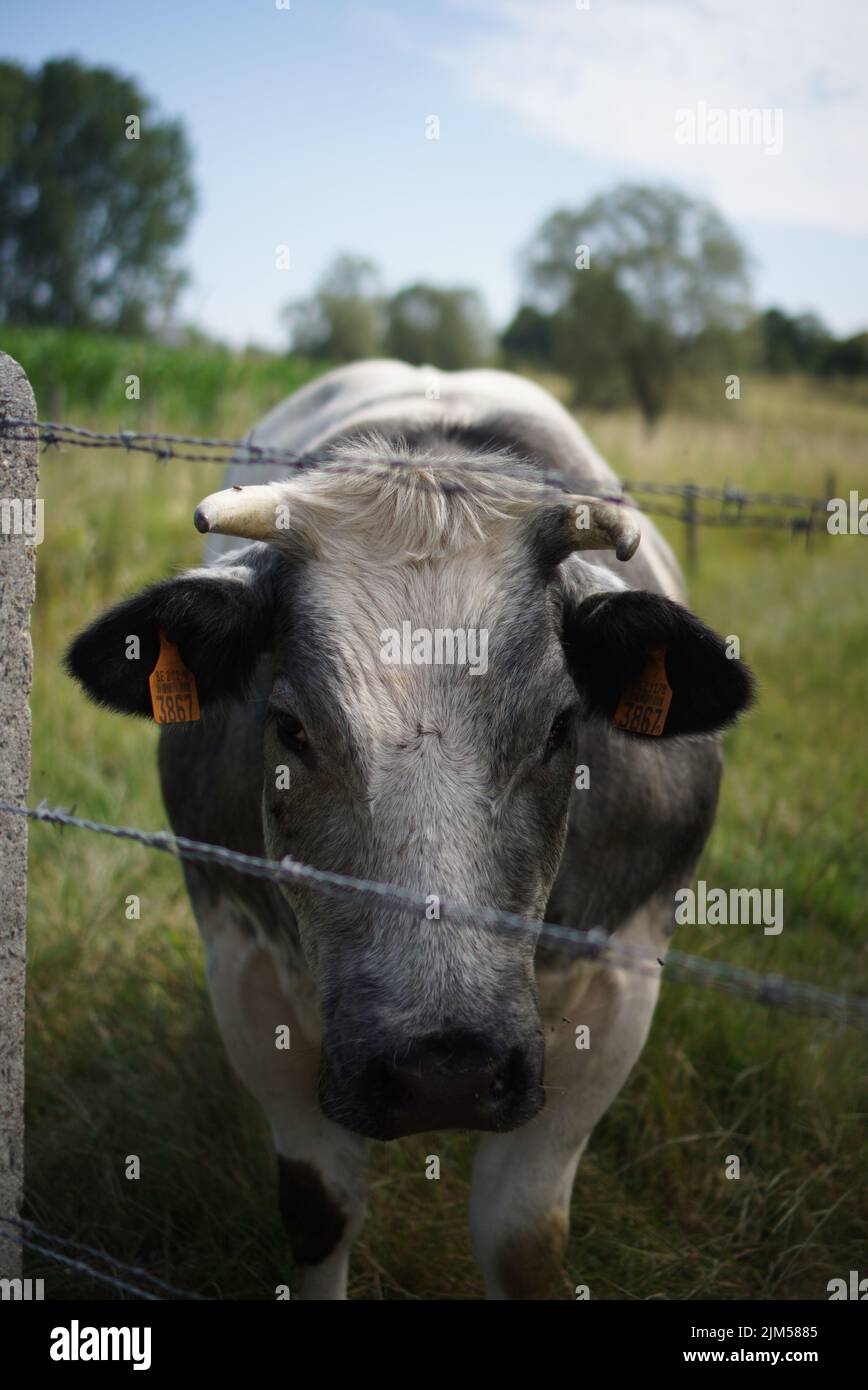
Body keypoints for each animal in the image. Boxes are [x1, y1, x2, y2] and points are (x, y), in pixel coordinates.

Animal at [67, 361, 754, 1300]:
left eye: (560, 728)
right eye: (290, 728)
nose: (443, 1074)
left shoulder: (619, 977)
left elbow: (521, 1237)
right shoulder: (242, 959)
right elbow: (319, 1207)